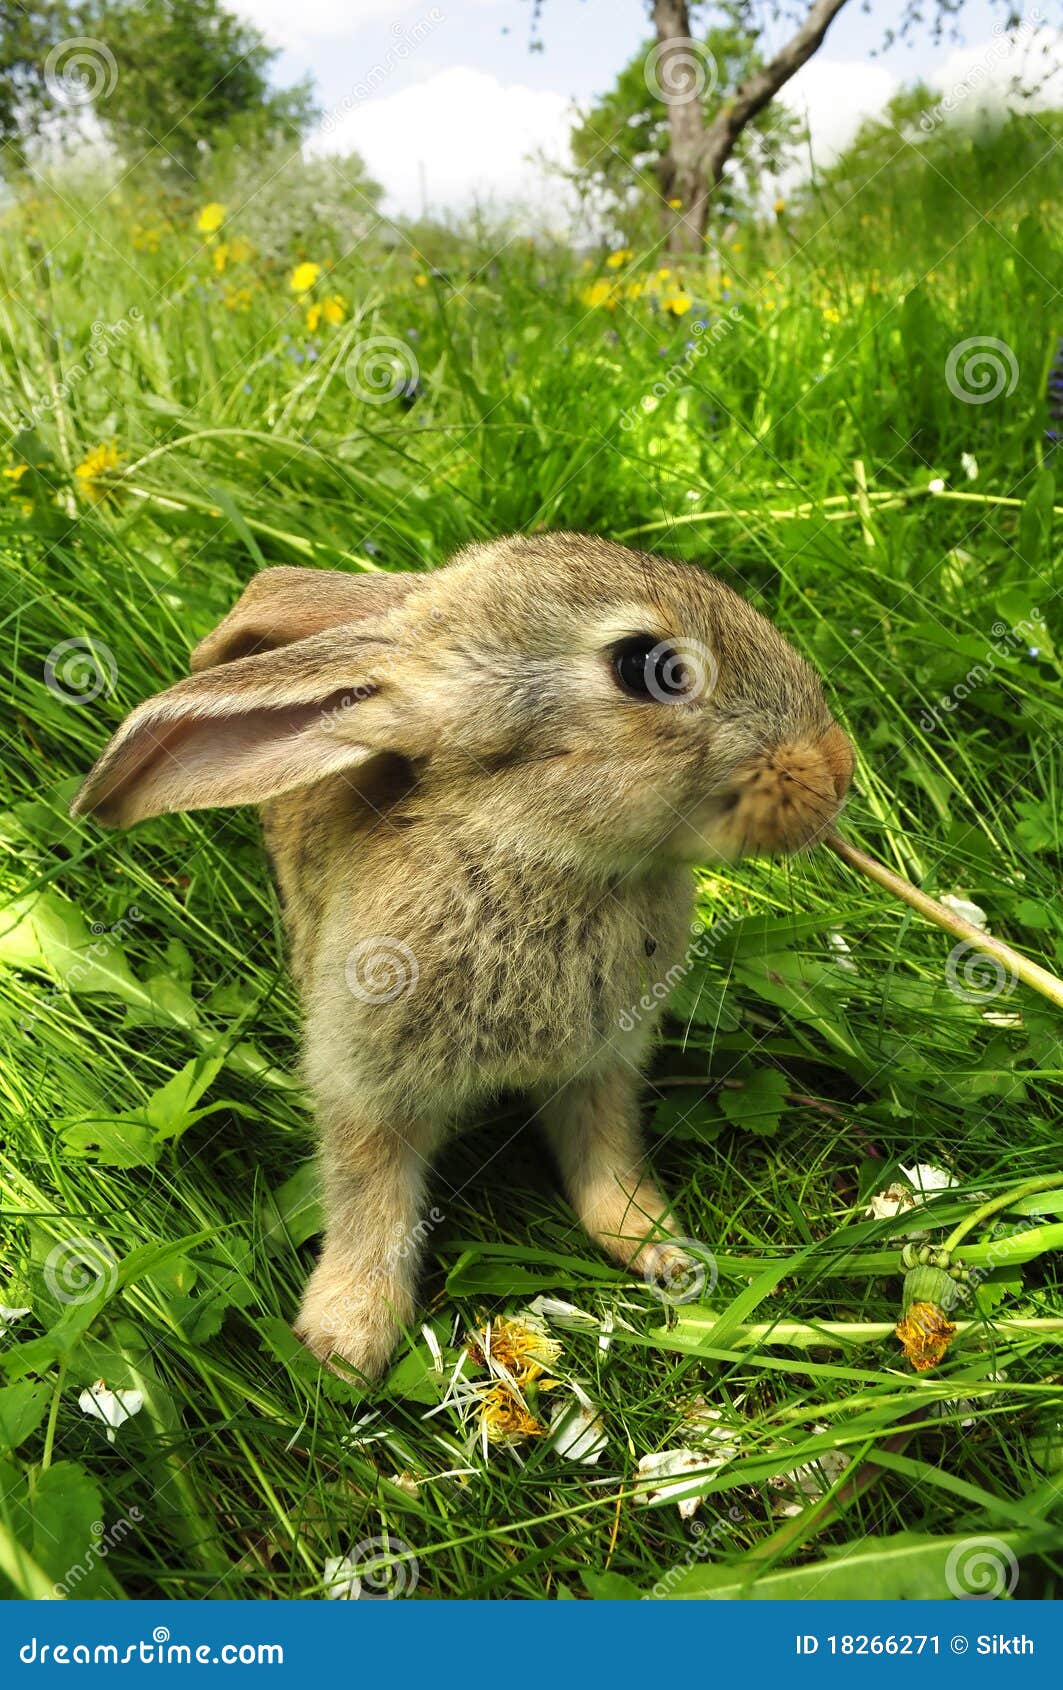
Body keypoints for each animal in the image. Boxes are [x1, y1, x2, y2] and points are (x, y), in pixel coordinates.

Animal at [72, 532, 854, 1379]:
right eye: (652, 667)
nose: (835, 767)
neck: (534, 851)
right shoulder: (364, 1085)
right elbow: (371, 1199)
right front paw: (346, 1341)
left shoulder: (601, 1064)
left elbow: (606, 1157)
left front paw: (656, 1247)